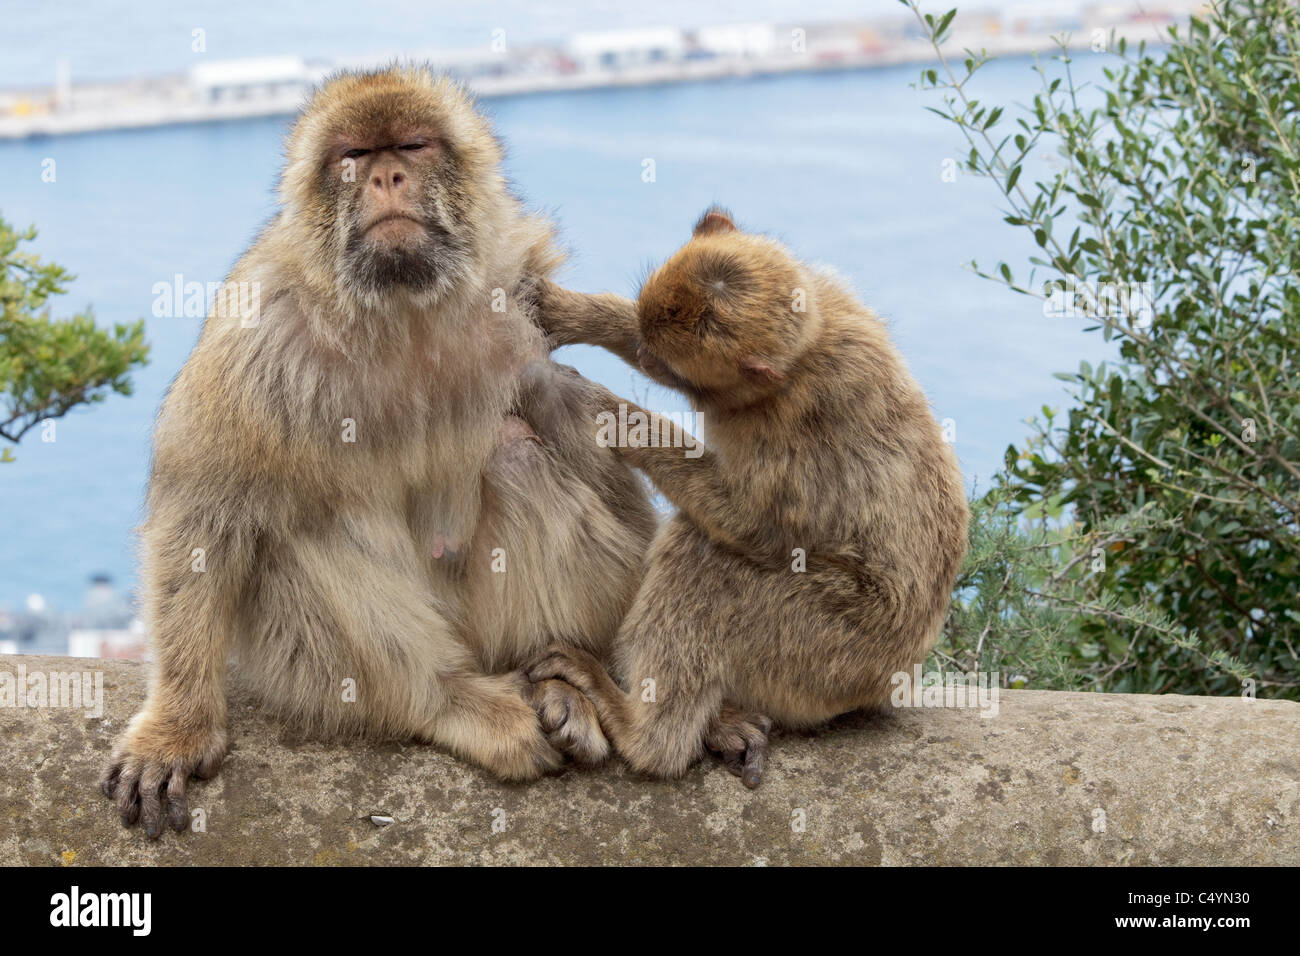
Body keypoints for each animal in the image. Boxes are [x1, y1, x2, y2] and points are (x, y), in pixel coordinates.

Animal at [100, 66, 657, 837]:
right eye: (353, 156)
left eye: (413, 146)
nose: (387, 176)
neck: (402, 311)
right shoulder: (257, 336)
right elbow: (203, 512)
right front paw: (176, 730)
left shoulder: (520, 300)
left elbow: (583, 432)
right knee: (291, 532)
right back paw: (452, 702)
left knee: (519, 452)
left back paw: (557, 685)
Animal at [527, 207, 969, 788]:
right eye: (646, 343)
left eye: (670, 369)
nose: (644, 352)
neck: (808, 349)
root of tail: (894, 678)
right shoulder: (833, 294)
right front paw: (574, 311)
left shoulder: (788, 431)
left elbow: (753, 525)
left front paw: (617, 419)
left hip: (831, 647)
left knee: (708, 559)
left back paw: (642, 732)